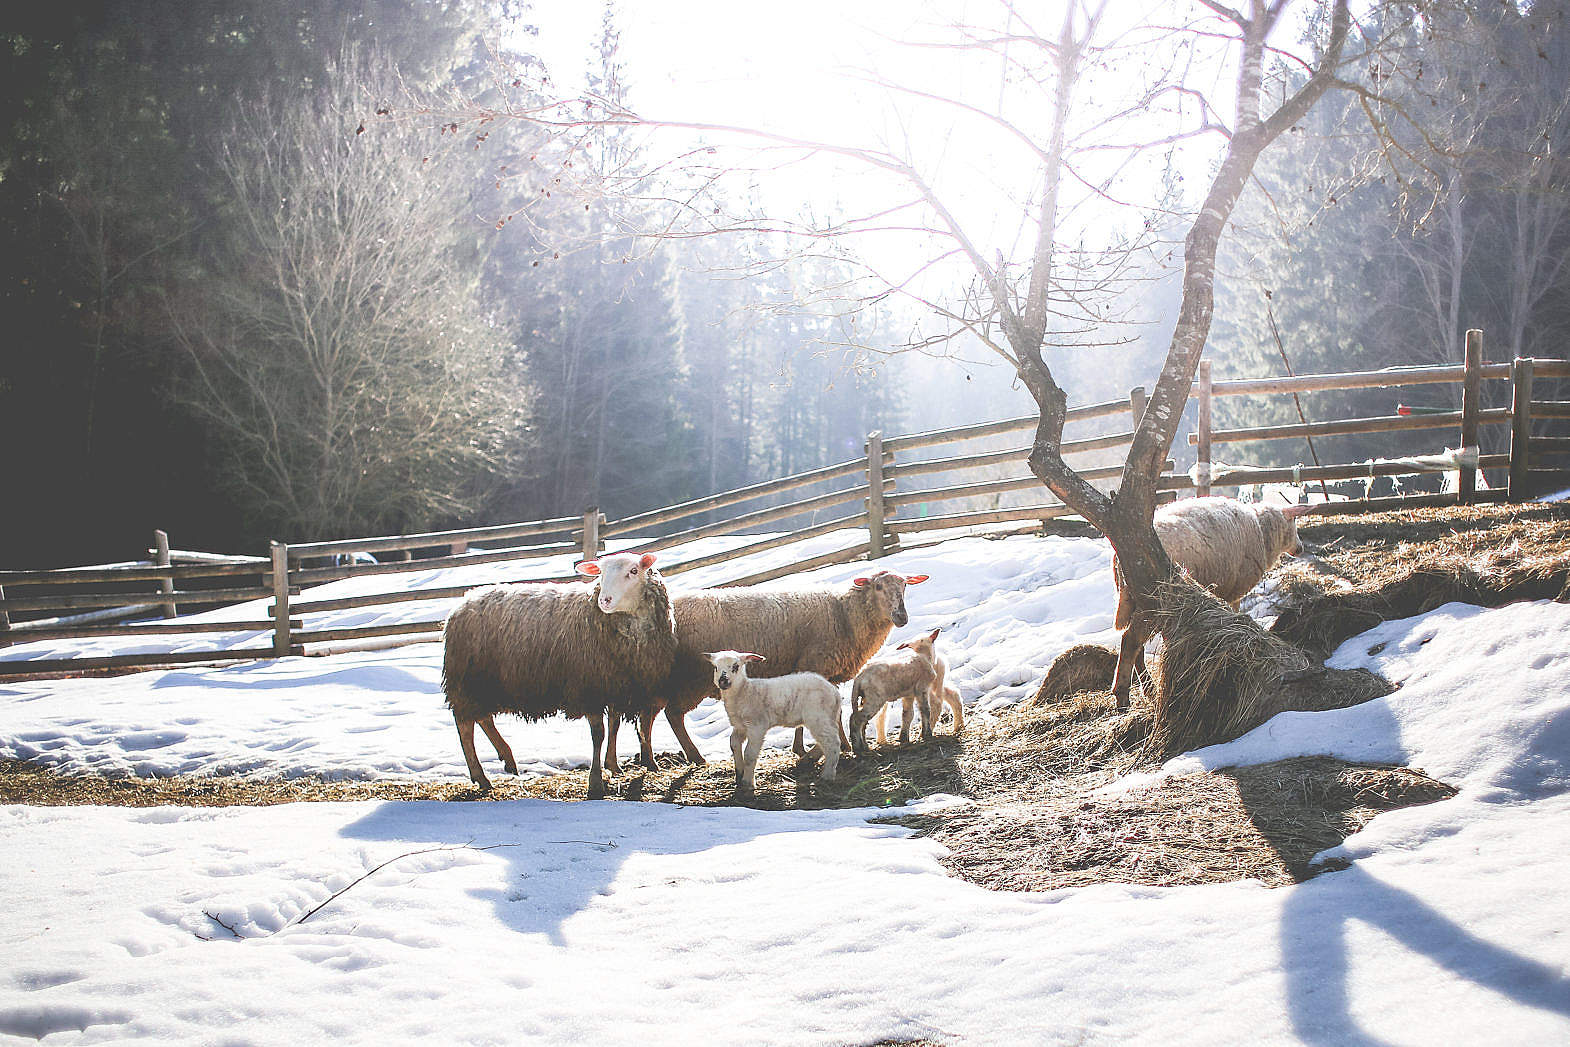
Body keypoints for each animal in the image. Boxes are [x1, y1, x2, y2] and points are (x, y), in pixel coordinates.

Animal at [441, 551, 676, 797]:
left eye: (633, 571)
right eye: (601, 573)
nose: (604, 600)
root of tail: (461, 604)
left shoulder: (617, 683)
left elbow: (614, 725)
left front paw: (613, 766)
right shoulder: (590, 685)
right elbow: (598, 734)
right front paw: (595, 782)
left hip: (485, 682)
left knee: (483, 719)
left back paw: (507, 758)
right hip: (466, 679)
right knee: (465, 726)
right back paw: (481, 776)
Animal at [604, 569, 929, 772]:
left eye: (904, 587)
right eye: (878, 586)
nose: (901, 616)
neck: (845, 615)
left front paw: (809, 748)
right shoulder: (815, 663)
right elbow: (832, 713)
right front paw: (835, 746)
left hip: (659, 679)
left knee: (647, 716)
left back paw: (648, 761)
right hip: (689, 678)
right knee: (671, 714)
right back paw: (694, 758)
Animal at [705, 651, 841, 798]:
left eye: (736, 666)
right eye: (716, 667)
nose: (723, 681)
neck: (744, 692)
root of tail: (835, 693)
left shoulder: (757, 726)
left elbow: (749, 754)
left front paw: (747, 783)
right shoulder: (740, 726)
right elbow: (733, 744)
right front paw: (739, 774)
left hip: (818, 717)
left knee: (832, 743)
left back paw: (827, 775)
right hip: (827, 717)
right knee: (828, 741)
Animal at [1111, 497, 1311, 707]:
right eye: (1293, 521)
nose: (1300, 548)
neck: (1262, 530)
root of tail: (1120, 558)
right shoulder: (1232, 591)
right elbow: (1232, 610)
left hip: (1135, 600)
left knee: (1136, 644)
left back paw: (1149, 689)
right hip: (1152, 600)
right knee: (1131, 640)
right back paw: (1122, 694)